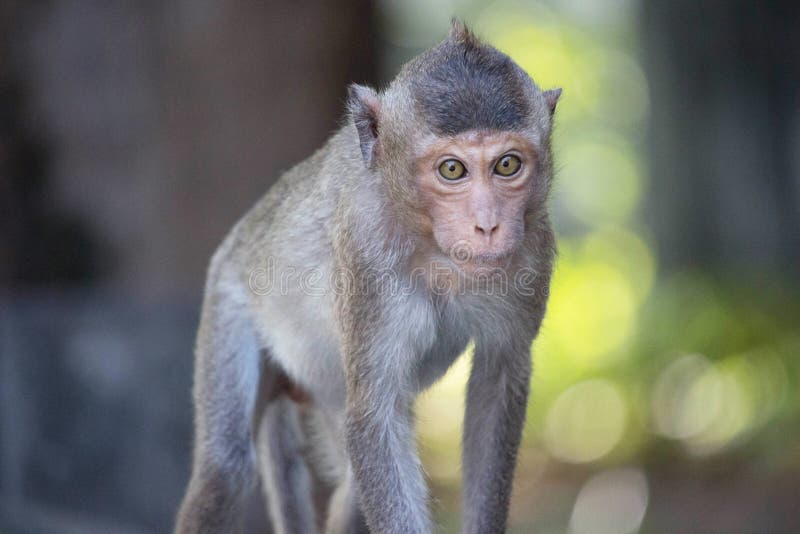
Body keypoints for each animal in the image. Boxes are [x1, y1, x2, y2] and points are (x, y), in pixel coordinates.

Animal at [175, 20, 560, 534]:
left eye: (507, 164)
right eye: (452, 169)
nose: (488, 225)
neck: (428, 243)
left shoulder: (532, 248)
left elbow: (496, 386)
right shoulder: (365, 251)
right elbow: (374, 416)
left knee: (353, 490)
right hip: (228, 296)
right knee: (225, 470)